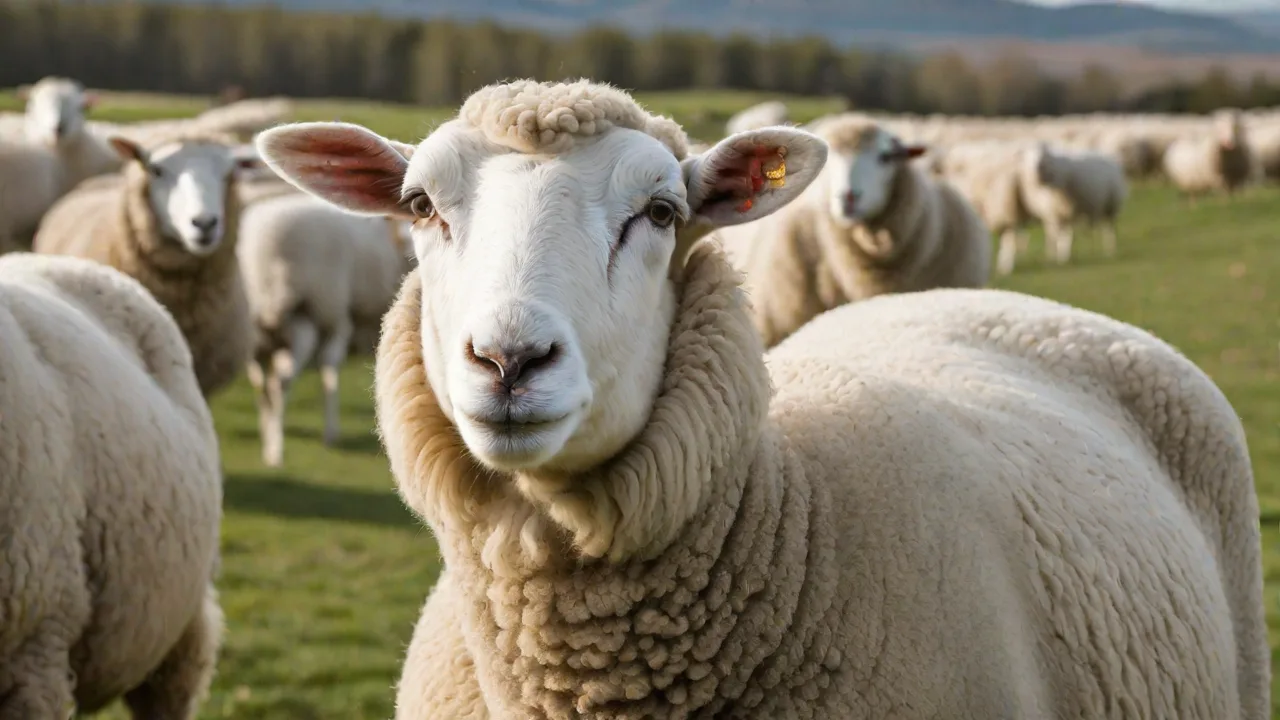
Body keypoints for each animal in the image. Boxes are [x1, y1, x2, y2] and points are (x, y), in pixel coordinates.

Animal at [237, 191, 417, 467]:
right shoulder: (336, 319)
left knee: (262, 385)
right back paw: (277, 450)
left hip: (258, 336)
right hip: (303, 320)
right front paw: (331, 433)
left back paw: (268, 439)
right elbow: (329, 371)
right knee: (281, 381)